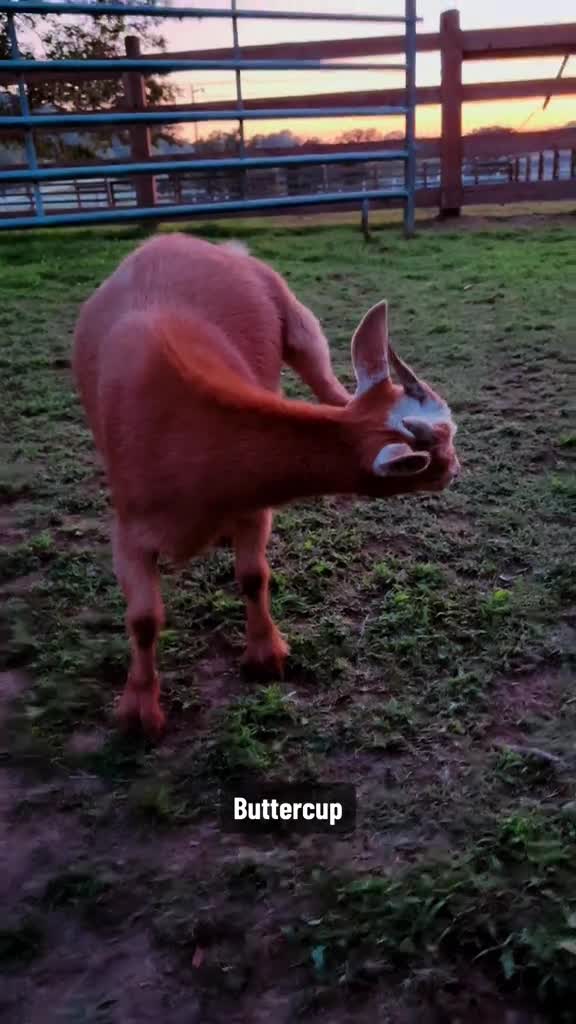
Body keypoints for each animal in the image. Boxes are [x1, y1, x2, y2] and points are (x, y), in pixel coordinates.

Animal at [73, 234, 459, 738]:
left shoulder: (253, 505)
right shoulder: (129, 531)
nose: (455, 469)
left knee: (331, 387)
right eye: (442, 450)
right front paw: (139, 711)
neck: (187, 435)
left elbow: (253, 576)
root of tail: (176, 239)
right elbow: (142, 619)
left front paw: (265, 655)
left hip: (300, 327)